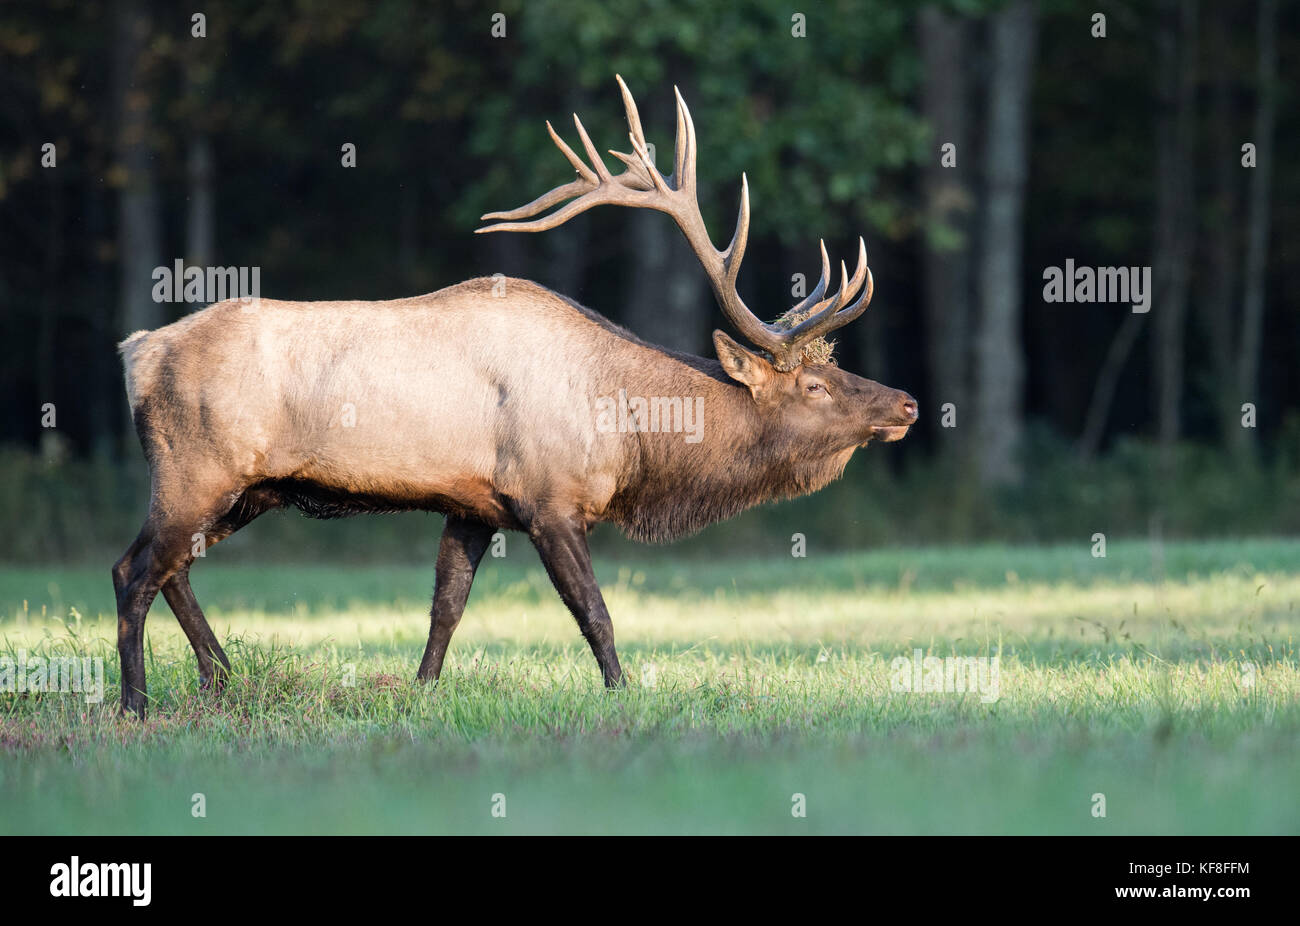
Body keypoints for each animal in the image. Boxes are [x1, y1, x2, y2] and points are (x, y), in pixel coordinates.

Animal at [112, 77, 918, 718]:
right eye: (816, 384)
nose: (908, 404)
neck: (629, 430)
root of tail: (137, 352)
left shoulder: (472, 504)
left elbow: (445, 609)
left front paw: (422, 691)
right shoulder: (549, 499)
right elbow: (595, 612)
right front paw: (622, 694)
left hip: (249, 487)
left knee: (176, 569)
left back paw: (222, 680)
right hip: (196, 469)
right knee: (134, 570)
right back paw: (136, 706)